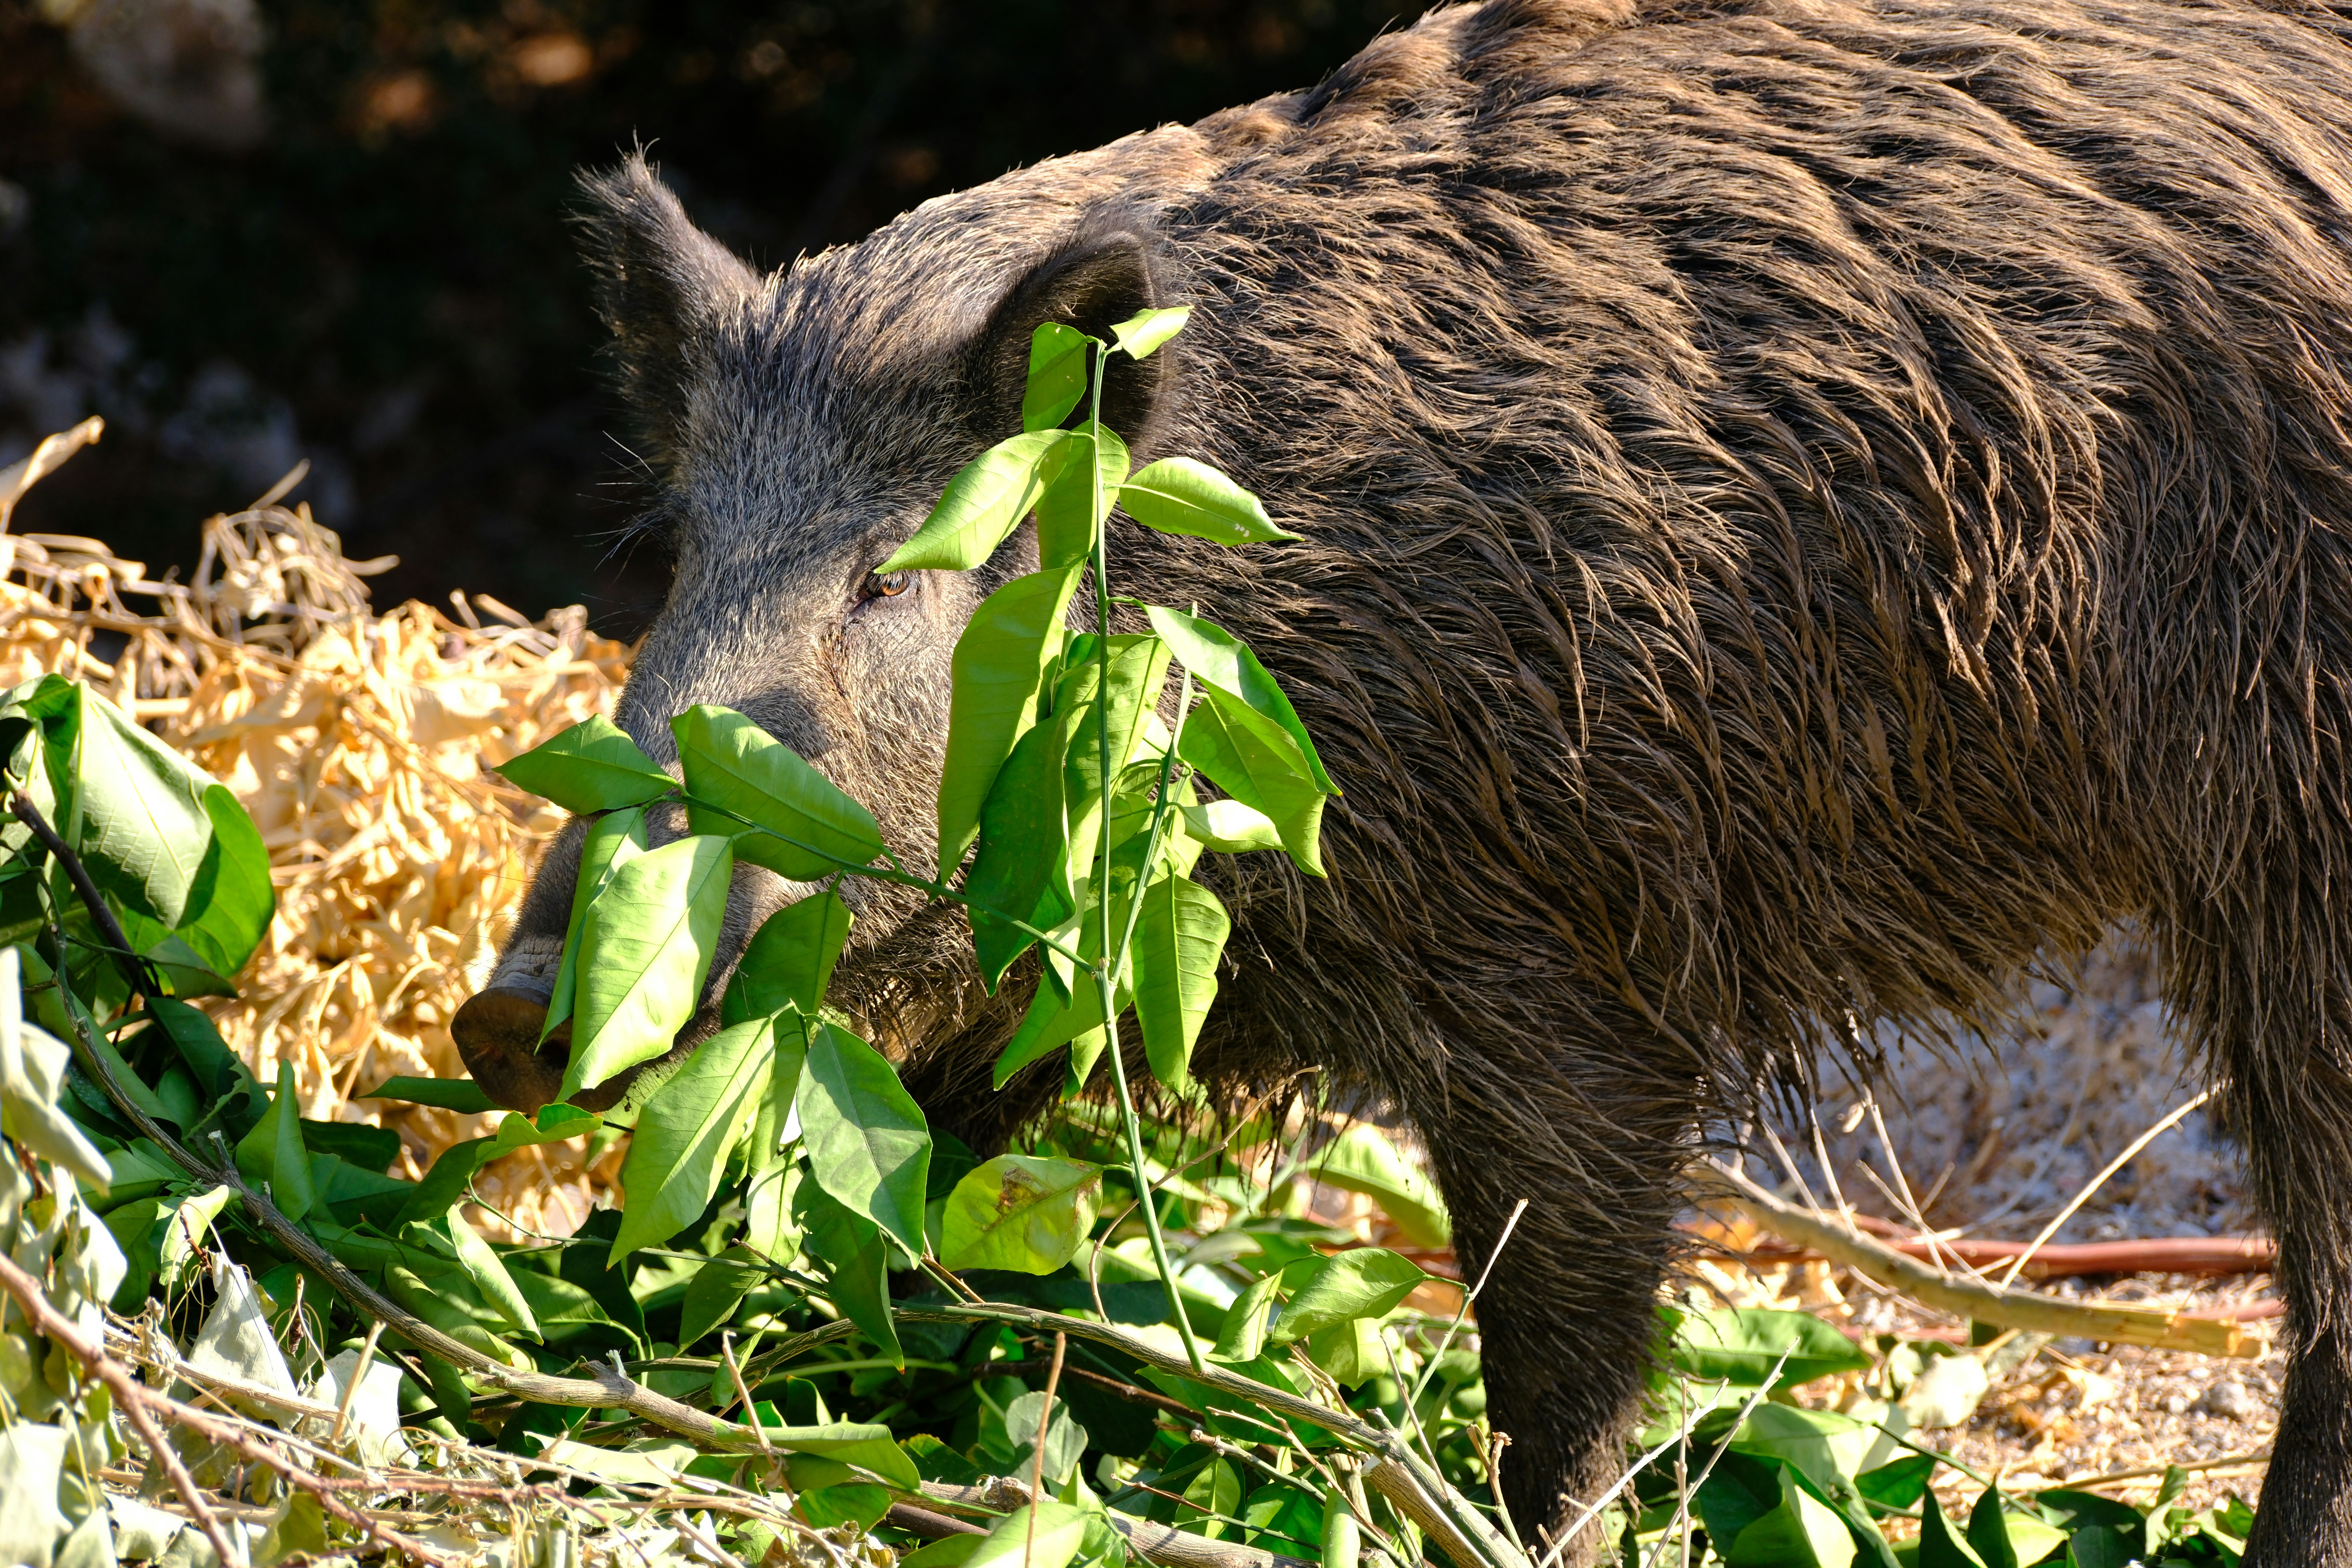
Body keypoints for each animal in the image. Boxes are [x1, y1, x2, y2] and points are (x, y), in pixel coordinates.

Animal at [452, 0, 2352, 1558]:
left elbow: (1558, 1358)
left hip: (2297, 835)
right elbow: (935, 1205)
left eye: (896, 569)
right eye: (686, 550)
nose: (511, 1005)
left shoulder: (1559, 955)